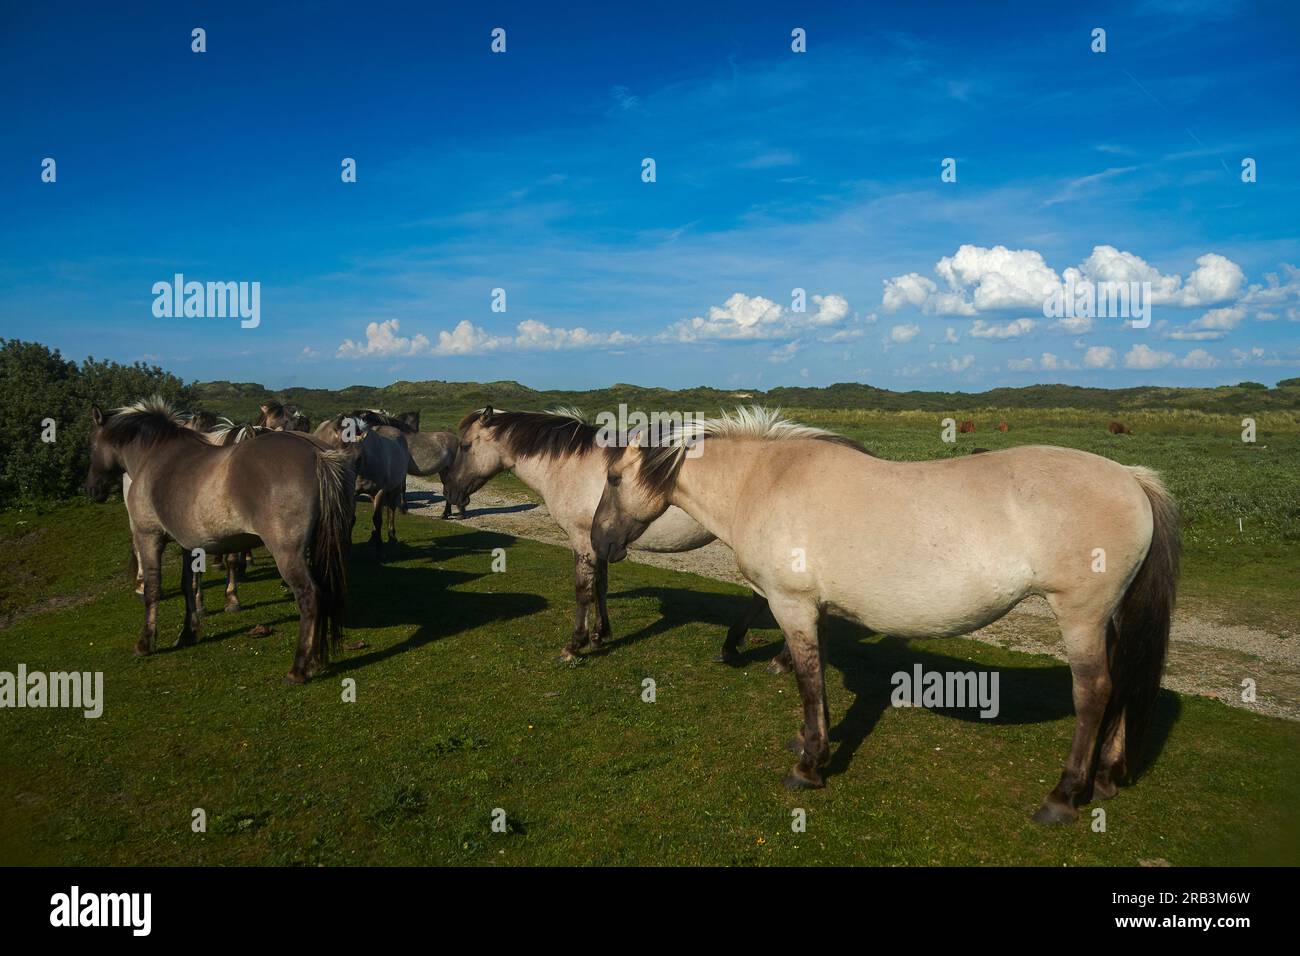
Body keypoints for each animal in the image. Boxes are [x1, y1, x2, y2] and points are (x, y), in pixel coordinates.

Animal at [85, 398, 354, 683]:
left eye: (91, 443)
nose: (91, 488)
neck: (156, 458)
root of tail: (316, 453)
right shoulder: (189, 545)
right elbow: (188, 586)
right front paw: (188, 632)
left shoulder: (149, 536)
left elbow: (152, 588)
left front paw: (145, 643)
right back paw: (317, 660)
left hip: (288, 554)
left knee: (309, 596)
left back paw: (299, 668)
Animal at [314, 414, 409, 557]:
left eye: (358, 458)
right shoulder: (353, 494)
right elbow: (351, 519)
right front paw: (348, 547)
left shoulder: (380, 491)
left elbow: (377, 519)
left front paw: (379, 548)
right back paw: (372, 538)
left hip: (395, 488)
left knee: (391, 509)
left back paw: (391, 537)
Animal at [443, 406, 772, 661]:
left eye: (466, 446)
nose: (452, 492)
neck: (569, 466)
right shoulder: (600, 543)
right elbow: (600, 586)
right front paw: (600, 634)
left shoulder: (581, 541)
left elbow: (583, 590)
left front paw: (575, 645)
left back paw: (734, 647)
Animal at [591, 406, 1179, 824]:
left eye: (614, 478)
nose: (599, 541)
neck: (765, 481)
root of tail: (1131, 478)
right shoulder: (813, 608)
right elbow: (815, 679)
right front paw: (809, 741)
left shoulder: (792, 604)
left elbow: (808, 679)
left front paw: (809, 766)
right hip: (1109, 620)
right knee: (1124, 686)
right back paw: (1106, 778)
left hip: (1081, 617)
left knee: (1095, 693)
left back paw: (1062, 797)